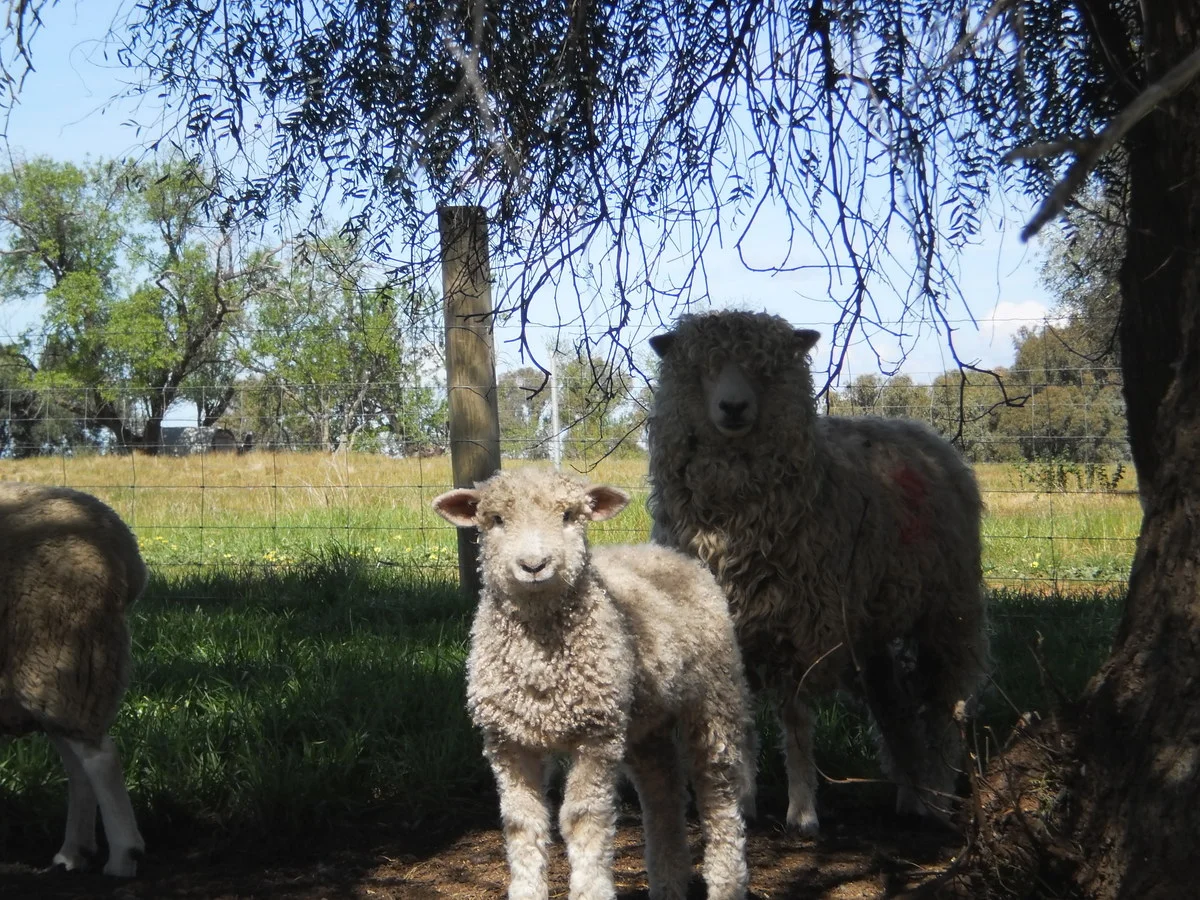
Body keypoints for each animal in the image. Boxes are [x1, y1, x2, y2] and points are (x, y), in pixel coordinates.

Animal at [1, 483, 147, 877]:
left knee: (99, 759)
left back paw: (122, 857)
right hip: (58, 676)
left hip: (57, 657)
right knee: (77, 764)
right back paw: (72, 852)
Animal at [432, 467, 752, 900]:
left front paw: (591, 889)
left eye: (569, 515)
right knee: (663, 790)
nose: (534, 565)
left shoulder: (595, 736)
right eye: (496, 520)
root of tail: (665, 553)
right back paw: (667, 881)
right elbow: (522, 822)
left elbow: (583, 818)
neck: (541, 667)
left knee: (718, 792)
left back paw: (725, 881)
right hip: (642, 720)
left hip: (714, 698)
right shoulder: (507, 741)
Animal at [646, 310, 989, 835]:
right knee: (894, 706)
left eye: (767, 368)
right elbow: (744, 721)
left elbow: (795, 720)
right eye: (702, 368)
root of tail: (919, 431)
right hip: (868, 625)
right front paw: (742, 799)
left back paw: (937, 796)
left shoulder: (800, 625)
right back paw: (910, 794)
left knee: (944, 703)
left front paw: (802, 810)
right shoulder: (731, 624)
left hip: (948, 609)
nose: (733, 407)